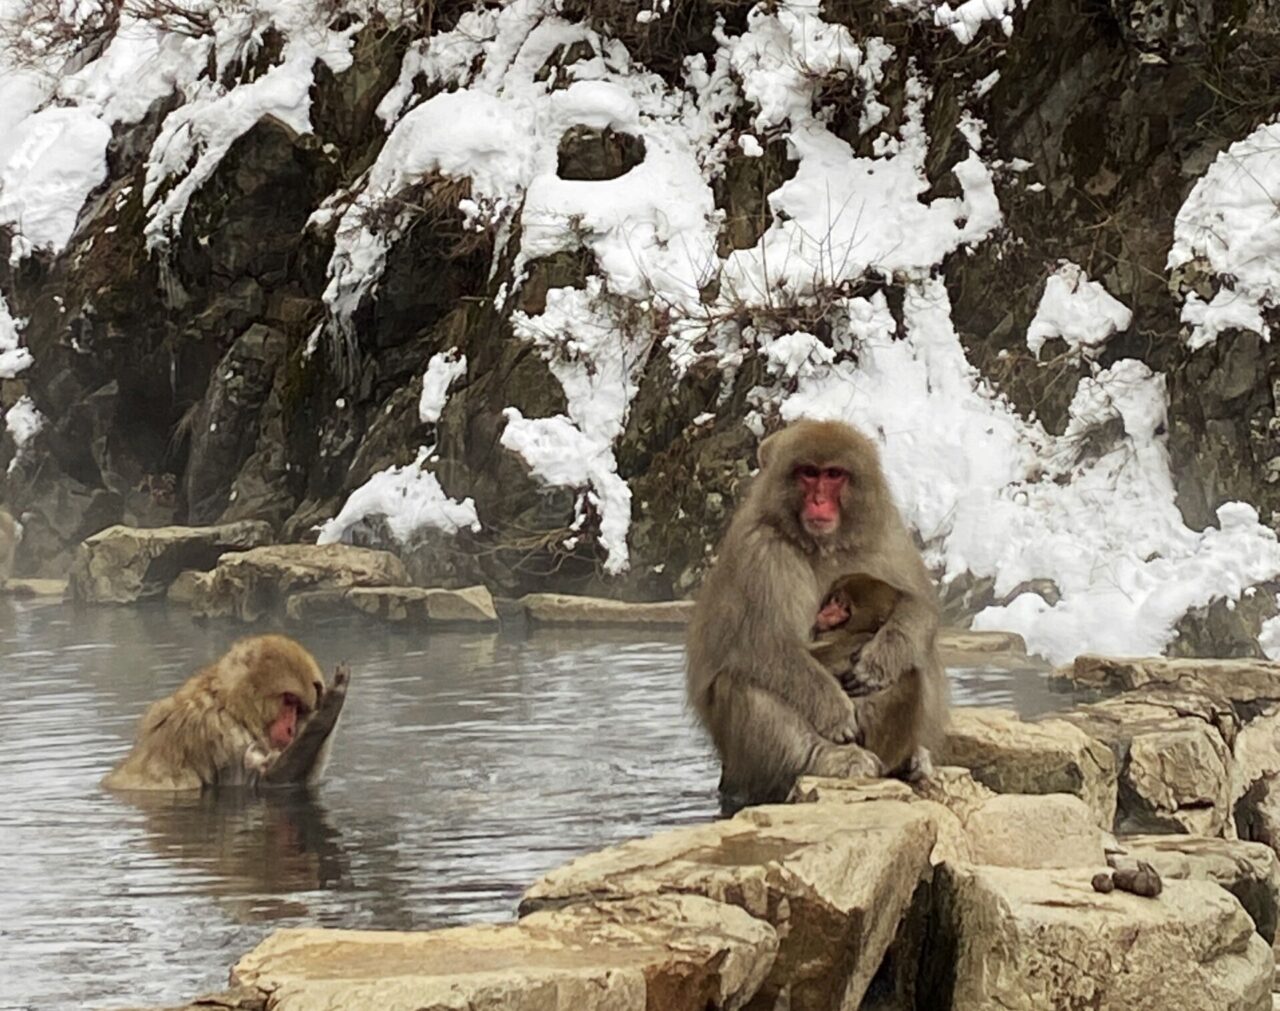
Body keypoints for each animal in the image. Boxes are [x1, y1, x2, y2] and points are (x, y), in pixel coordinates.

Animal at [102, 635, 343, 792]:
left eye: (298, 708)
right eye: (288, 700)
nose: (291, 728)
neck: (231, 705)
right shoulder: (220, 733)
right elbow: (261, 784)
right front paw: (328, 710)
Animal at [687, 418, 947, 814]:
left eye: (834, 475)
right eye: (809, 473)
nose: (819, 501)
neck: (825, 544)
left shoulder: (886, 536)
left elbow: (919, 607)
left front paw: (881, 659)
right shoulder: (762, 554)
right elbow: (764, 645)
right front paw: (834, 711)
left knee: (914, 664)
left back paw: (912, 755)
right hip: (742, 764)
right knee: (746, 684)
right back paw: (827, 758)